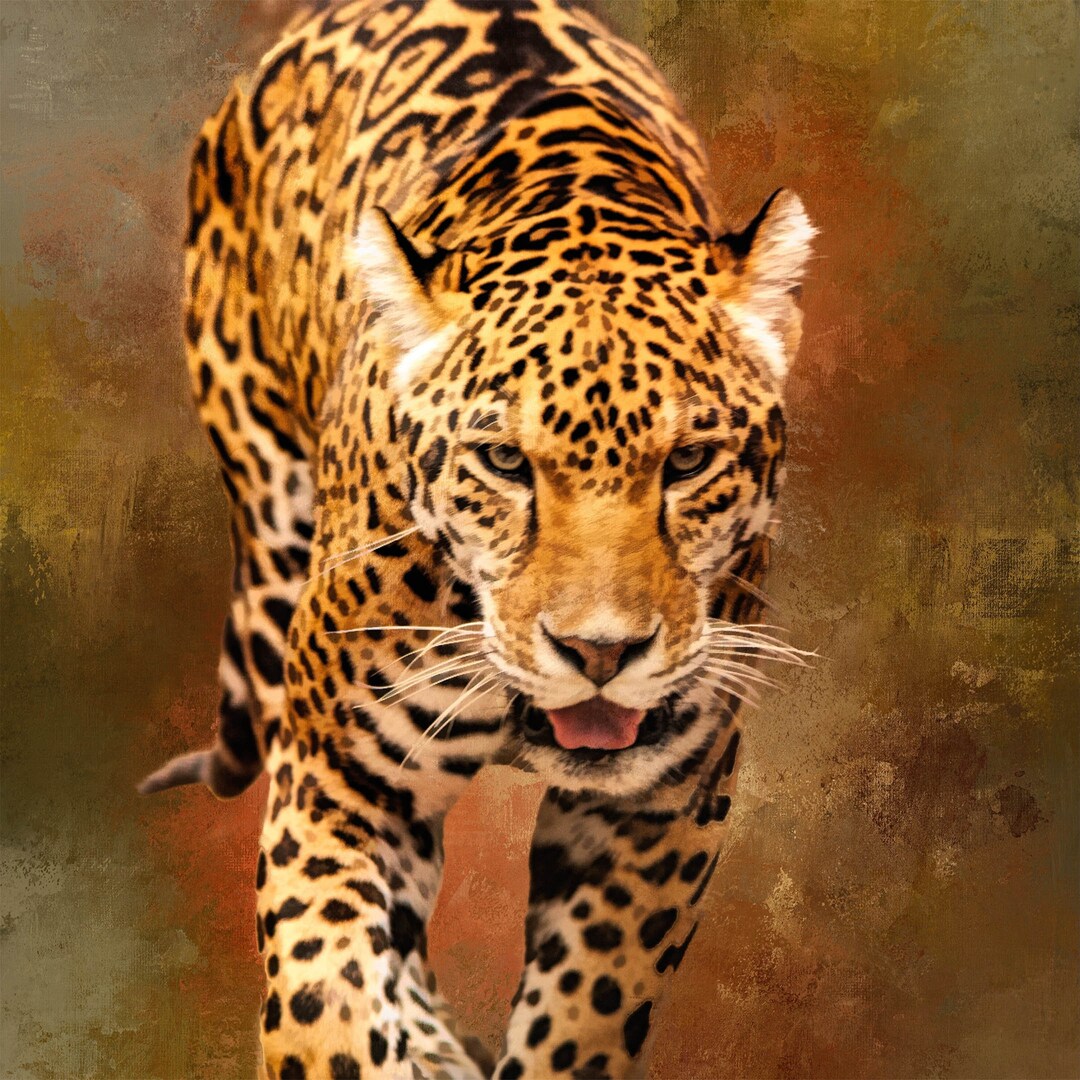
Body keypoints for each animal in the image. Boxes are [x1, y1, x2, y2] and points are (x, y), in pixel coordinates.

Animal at [140, 1, 816, 1077]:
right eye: (502, 461)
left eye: (689, 461)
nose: (599, 653)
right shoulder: (336, 781)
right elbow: (324, 996)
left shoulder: (664, 808)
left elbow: (585, 1010)